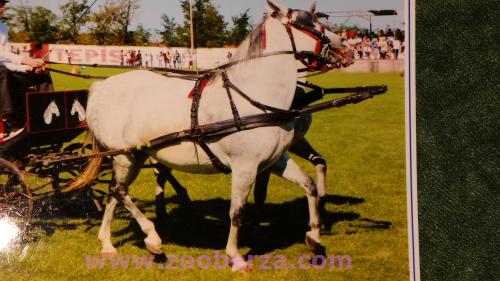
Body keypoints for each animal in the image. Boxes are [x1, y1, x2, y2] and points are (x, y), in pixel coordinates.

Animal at [71, 1, 328, 270]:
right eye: (312, 26)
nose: (341, 49)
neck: (252, 97)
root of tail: (100, 87)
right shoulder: (244, 166)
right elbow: (237, 211)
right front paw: (236, 256)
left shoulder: (273, 160)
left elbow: (308, 185)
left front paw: (315, 238)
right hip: (125, 155)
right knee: (120, 191)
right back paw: (153, 238)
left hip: (135, 155)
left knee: (115, 191)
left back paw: (108, 242)